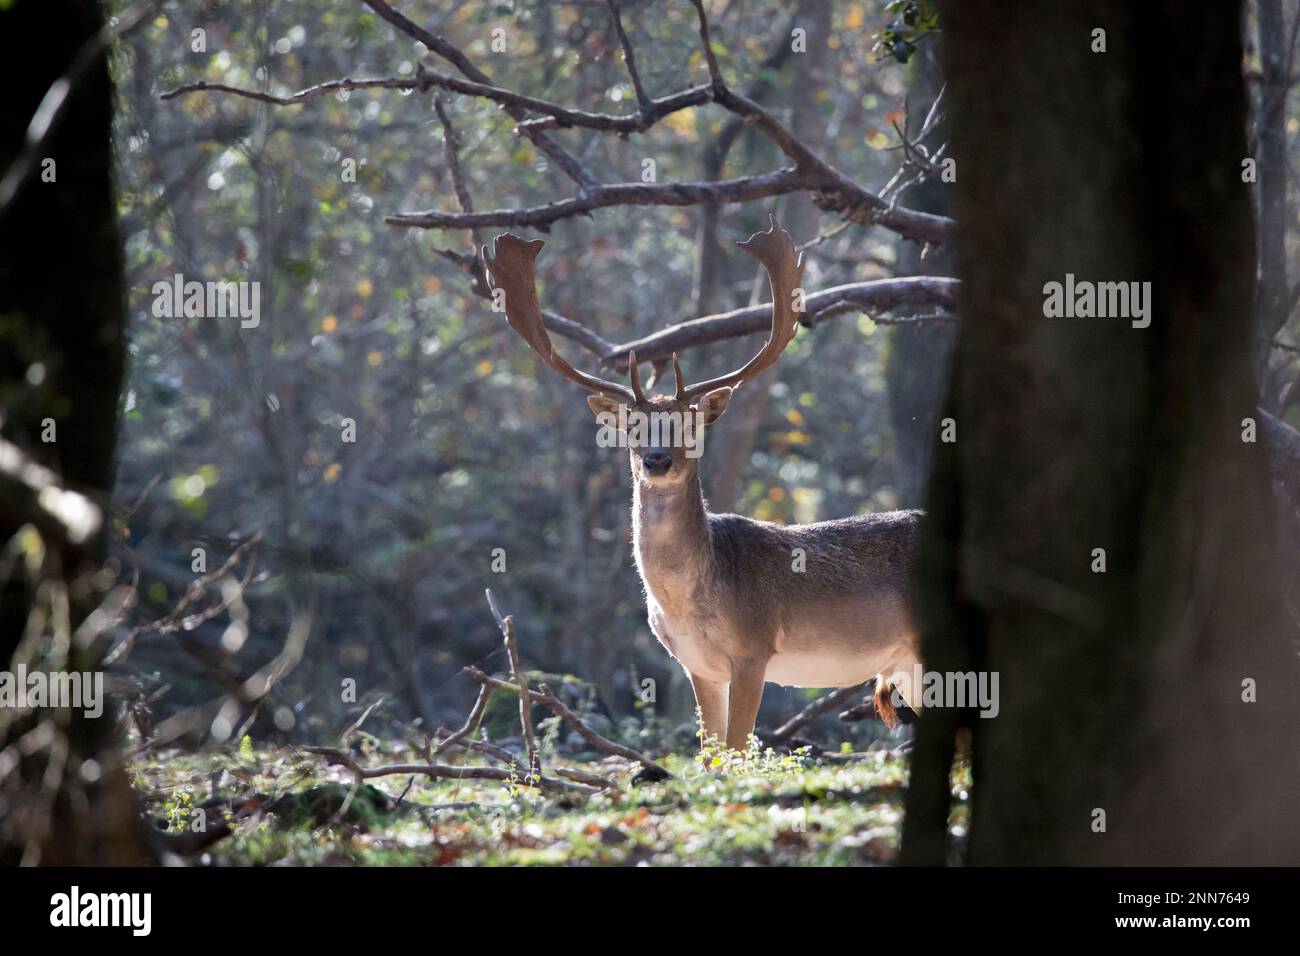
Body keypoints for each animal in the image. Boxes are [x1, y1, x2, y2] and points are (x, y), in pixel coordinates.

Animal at [483, 217, 923, 752]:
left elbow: (736, 749)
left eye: (689, 426)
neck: (685, 603)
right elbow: (708, 753)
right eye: (633, 429)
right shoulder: (699, 667)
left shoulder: (754, 649)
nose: (657, 459)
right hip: (909, 665)